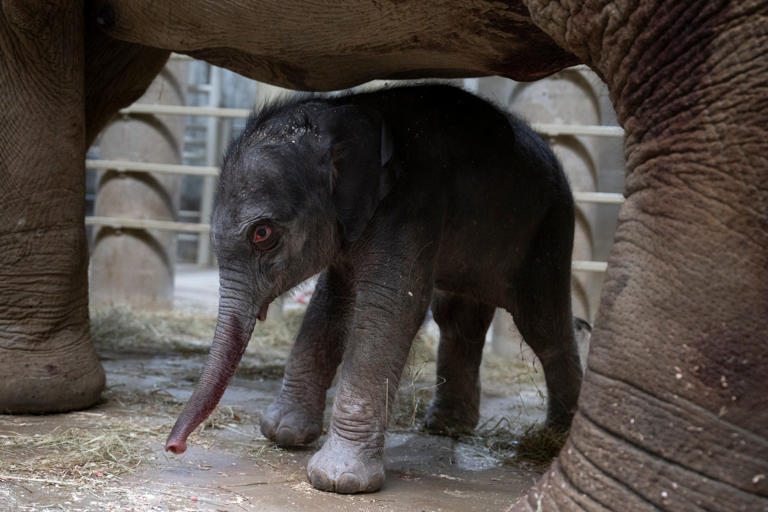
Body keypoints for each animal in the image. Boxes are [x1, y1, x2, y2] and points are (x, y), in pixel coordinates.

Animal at [163, 84, 583, 493]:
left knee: (543, 324)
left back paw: (557, 435)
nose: (174, 447)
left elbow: (389, 308)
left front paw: (337, 479)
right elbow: (332, 304)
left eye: (262, 233)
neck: (346, 108)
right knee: (457, 318)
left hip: (549, 231)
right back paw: (447, 426)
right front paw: (284, 433)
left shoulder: (411, 206)